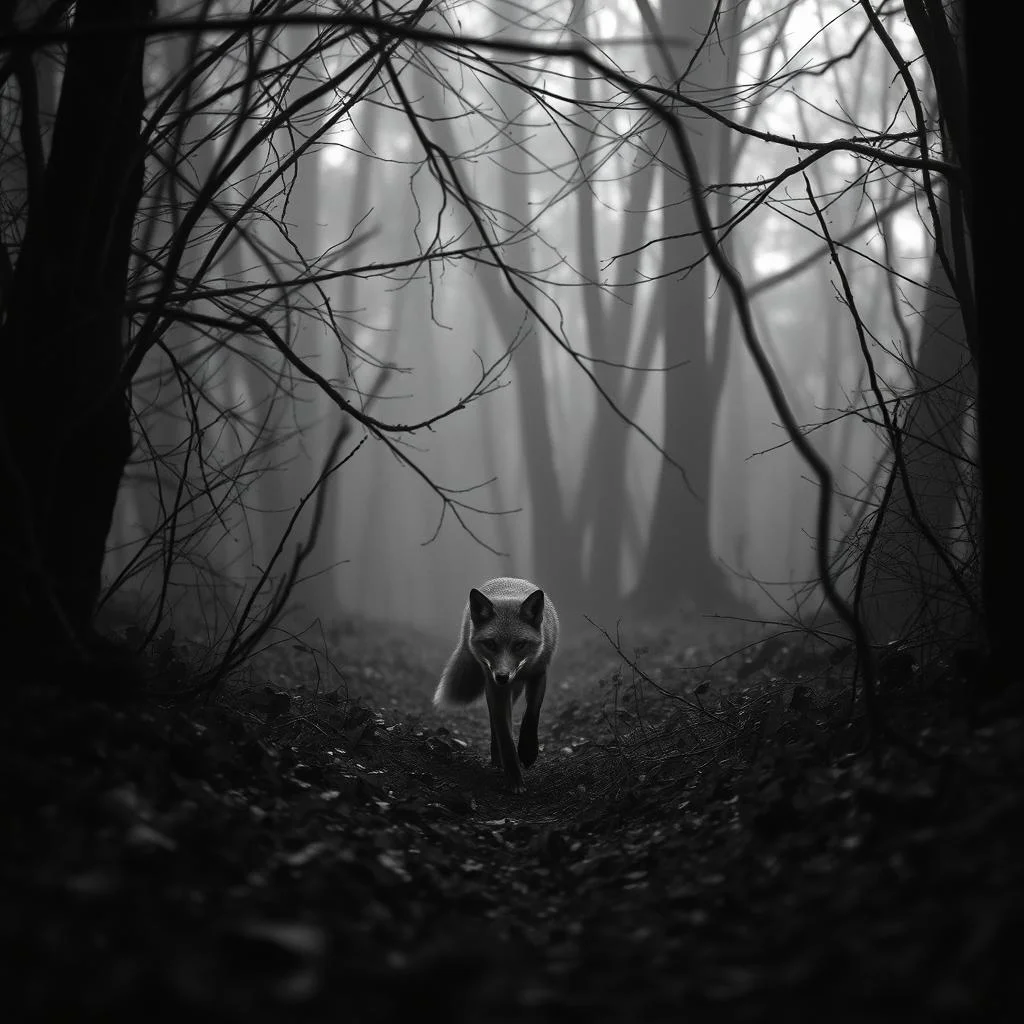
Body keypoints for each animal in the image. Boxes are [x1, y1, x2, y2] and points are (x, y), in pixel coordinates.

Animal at [434, 577, 559, 794]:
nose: (502, 676)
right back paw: (496, 757)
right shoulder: (496, 688)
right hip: (495, 686)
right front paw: (514, 780)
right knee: (494, 721)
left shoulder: (539, 674)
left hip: (515, 689)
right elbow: (505, 736)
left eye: (519, 644)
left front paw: (528, 750)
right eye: (491, 644)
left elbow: (532, 714)